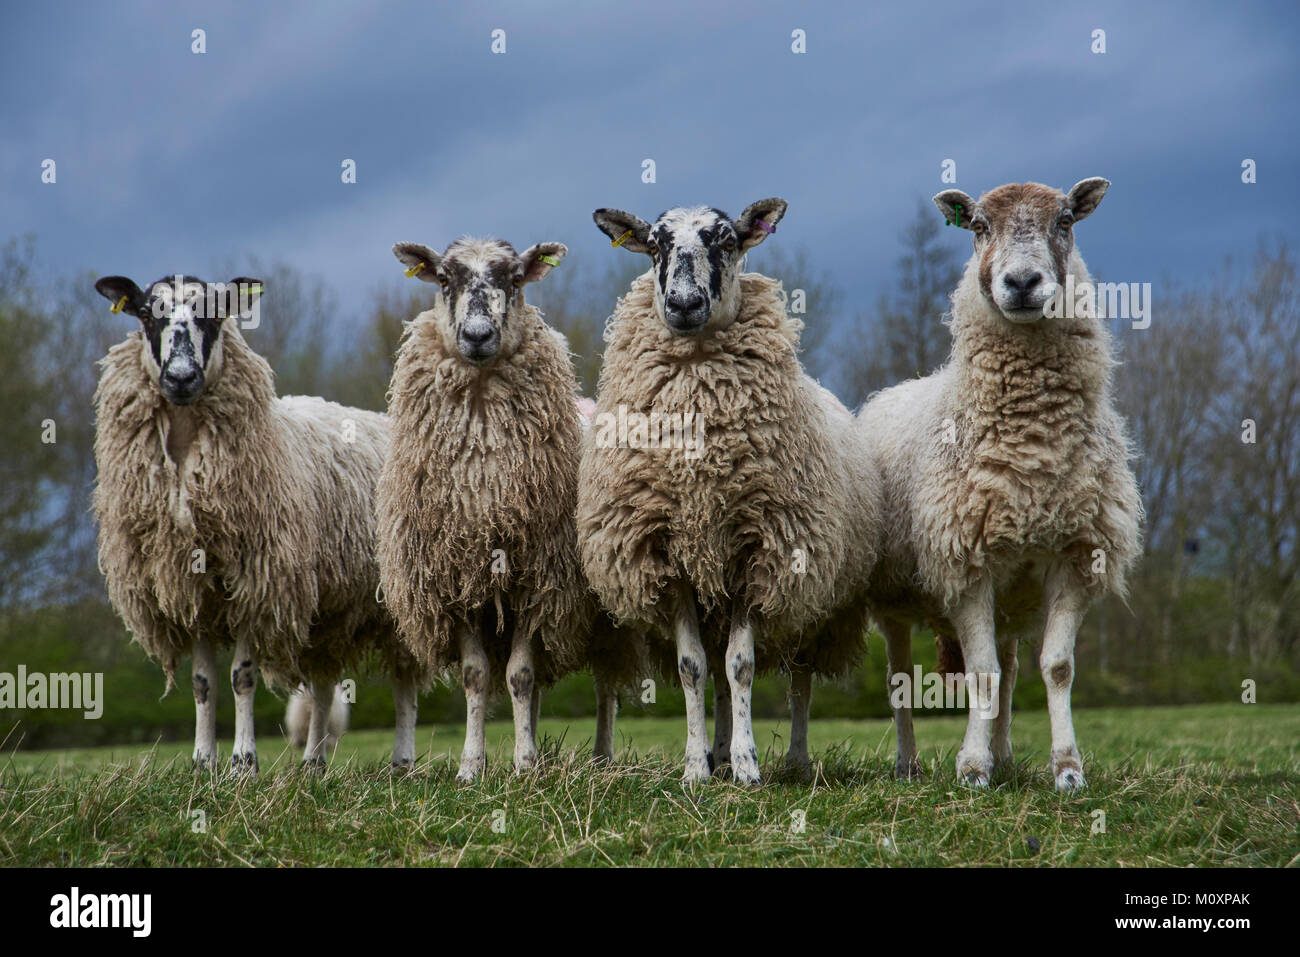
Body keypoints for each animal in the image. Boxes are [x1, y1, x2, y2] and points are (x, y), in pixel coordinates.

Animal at [91, 274, 420, 772]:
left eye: (214, 314)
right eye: (147, 314)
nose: (182, 378)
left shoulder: (255, 581)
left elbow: (241, 677)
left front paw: (243, 762)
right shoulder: (194, 591)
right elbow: (203, 683)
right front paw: (202, 762)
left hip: (398, 598)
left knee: (405, 679)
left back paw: (402, 761)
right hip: (325, 612)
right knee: (322, 686)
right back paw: (313, 763)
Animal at [378, 237, 609, 781]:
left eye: (515, 279)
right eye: (444, 279)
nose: (478, 336)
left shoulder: (537, 577)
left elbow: (520, 676)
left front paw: (525, 765)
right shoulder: (457, 579)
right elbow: (476, 675)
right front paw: (470, 767)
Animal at [579, 200, 880, 785]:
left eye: (726, 239)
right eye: (655, 244)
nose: (684, 304)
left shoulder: (756, 550)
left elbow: (741, 666)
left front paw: (747, 767)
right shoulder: (669, 556)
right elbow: (694, 669)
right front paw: (697, 767)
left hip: (812, 602)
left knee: (800, 680)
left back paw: (795, 760)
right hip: (711, 592)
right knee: (716, 674)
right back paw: (716, 753)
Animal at [856, 178, 1143, 791]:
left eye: (1065, 220)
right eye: (979, 226)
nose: (1023, 282)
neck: (1033, 445)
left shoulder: (1076, 555)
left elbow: (1054, 668)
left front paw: (1067, 770)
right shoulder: (968, 563)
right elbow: (981, 674)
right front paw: (971, 769)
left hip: (1014, 599)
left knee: (1012, 669)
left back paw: (1007, 756)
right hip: (892, 596)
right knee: (899, 676)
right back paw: (909, 764)